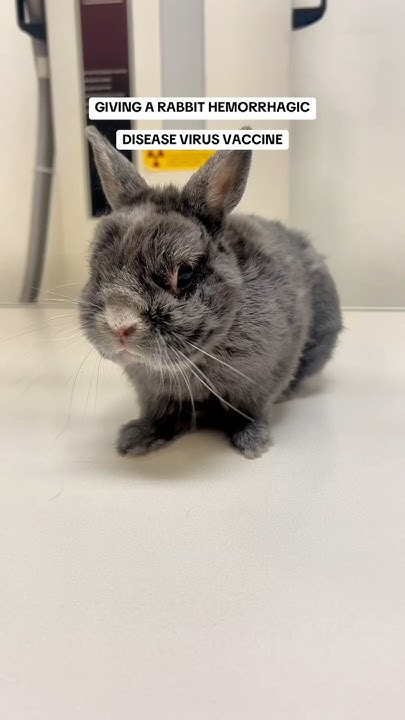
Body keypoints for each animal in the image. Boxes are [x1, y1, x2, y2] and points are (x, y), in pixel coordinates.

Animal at [80, 126, 342, 459]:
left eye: (184, 274)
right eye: (95, 267)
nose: (120, 325)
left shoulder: (258, 382)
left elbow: (250, 412)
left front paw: (252, 443)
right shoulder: (155, 393)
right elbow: (161, 415)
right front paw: (136, 440)